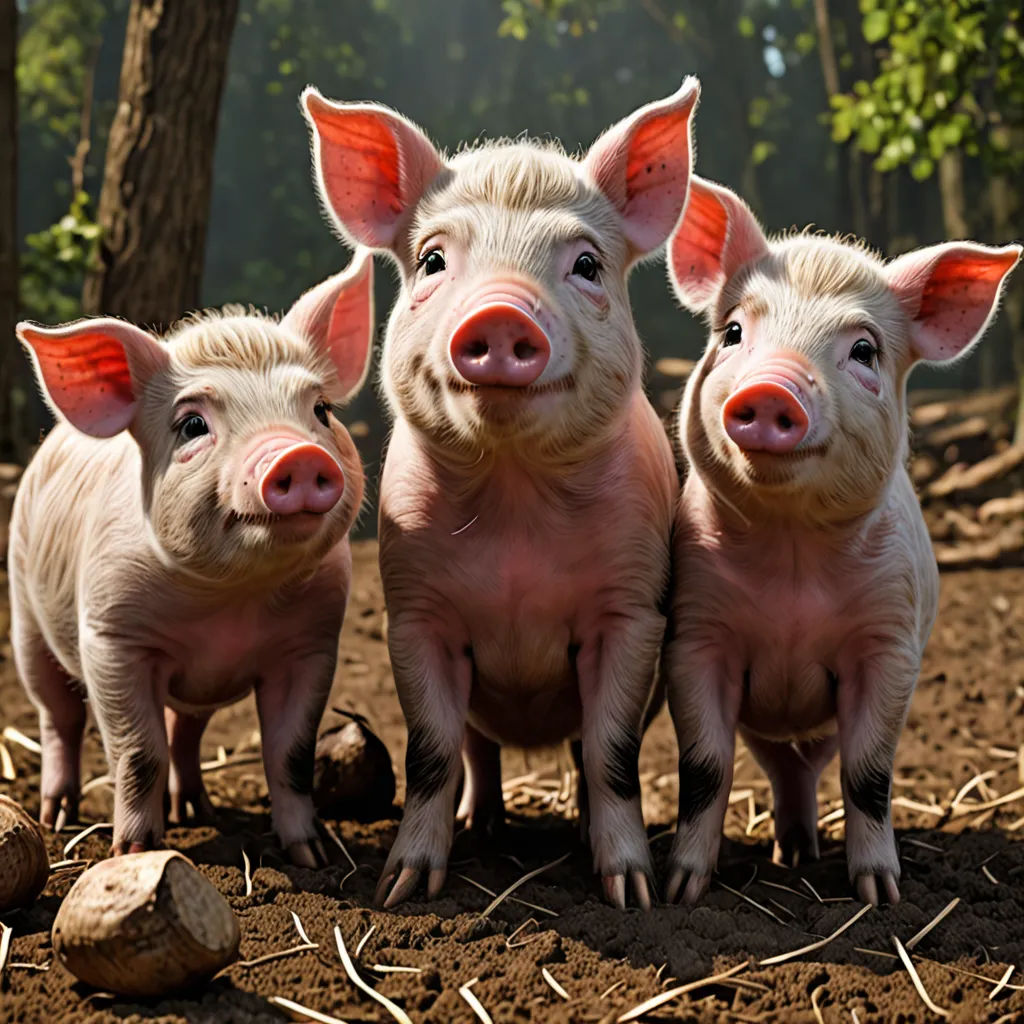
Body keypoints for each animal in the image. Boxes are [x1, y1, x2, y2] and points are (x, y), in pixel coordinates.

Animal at [9, 253, 375, 866]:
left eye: (321, 410)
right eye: (193, 425)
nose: (298, 454)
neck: (230, 599)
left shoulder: (312, 643)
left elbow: (292, 752)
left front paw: (311, 855)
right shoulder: (111, 637)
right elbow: (138, 752)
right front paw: (133, 852)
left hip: (195, 690)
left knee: (187, 731)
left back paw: (196, 811)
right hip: (26, 621)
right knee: (58, 717)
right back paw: (57, 816)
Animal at [301, 80, 700, 908]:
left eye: (587, 264)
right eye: (432, 259)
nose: (501, 311)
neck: (516, 506)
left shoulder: (632, 611)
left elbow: (612, 754)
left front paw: (632, 892)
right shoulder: (413, 613)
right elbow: (428, 752)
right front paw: (401, 889)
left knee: (576, 754)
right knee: (478, 749)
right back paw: (481, 828)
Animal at [662, 175, 1021, 905]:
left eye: (863, 350)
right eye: (733, 331)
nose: (773, 388)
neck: (792, 557)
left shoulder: (889, 647)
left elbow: (869, 774)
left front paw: (881, 894)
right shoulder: (695, 635)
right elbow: (705, 767)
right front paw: (682, 889)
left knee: (812, 767)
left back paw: (802, 855)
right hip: (766, 721)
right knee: (783, 769)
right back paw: (789, 854)